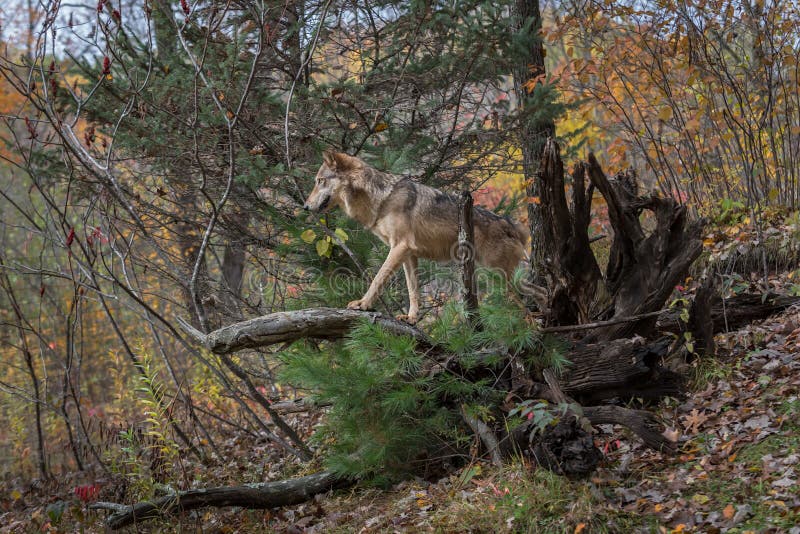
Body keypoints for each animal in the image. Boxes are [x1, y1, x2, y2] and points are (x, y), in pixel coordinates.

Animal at [303, 151, 528, 323]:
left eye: (320, 181)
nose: (305, 206)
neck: (381, 199)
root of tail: (512, 225)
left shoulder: (399, 247)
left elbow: (378, 279)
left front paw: (363, 304)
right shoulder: (409, 253)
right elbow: (413, 290)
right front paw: (411, 318)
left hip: (500, 277)